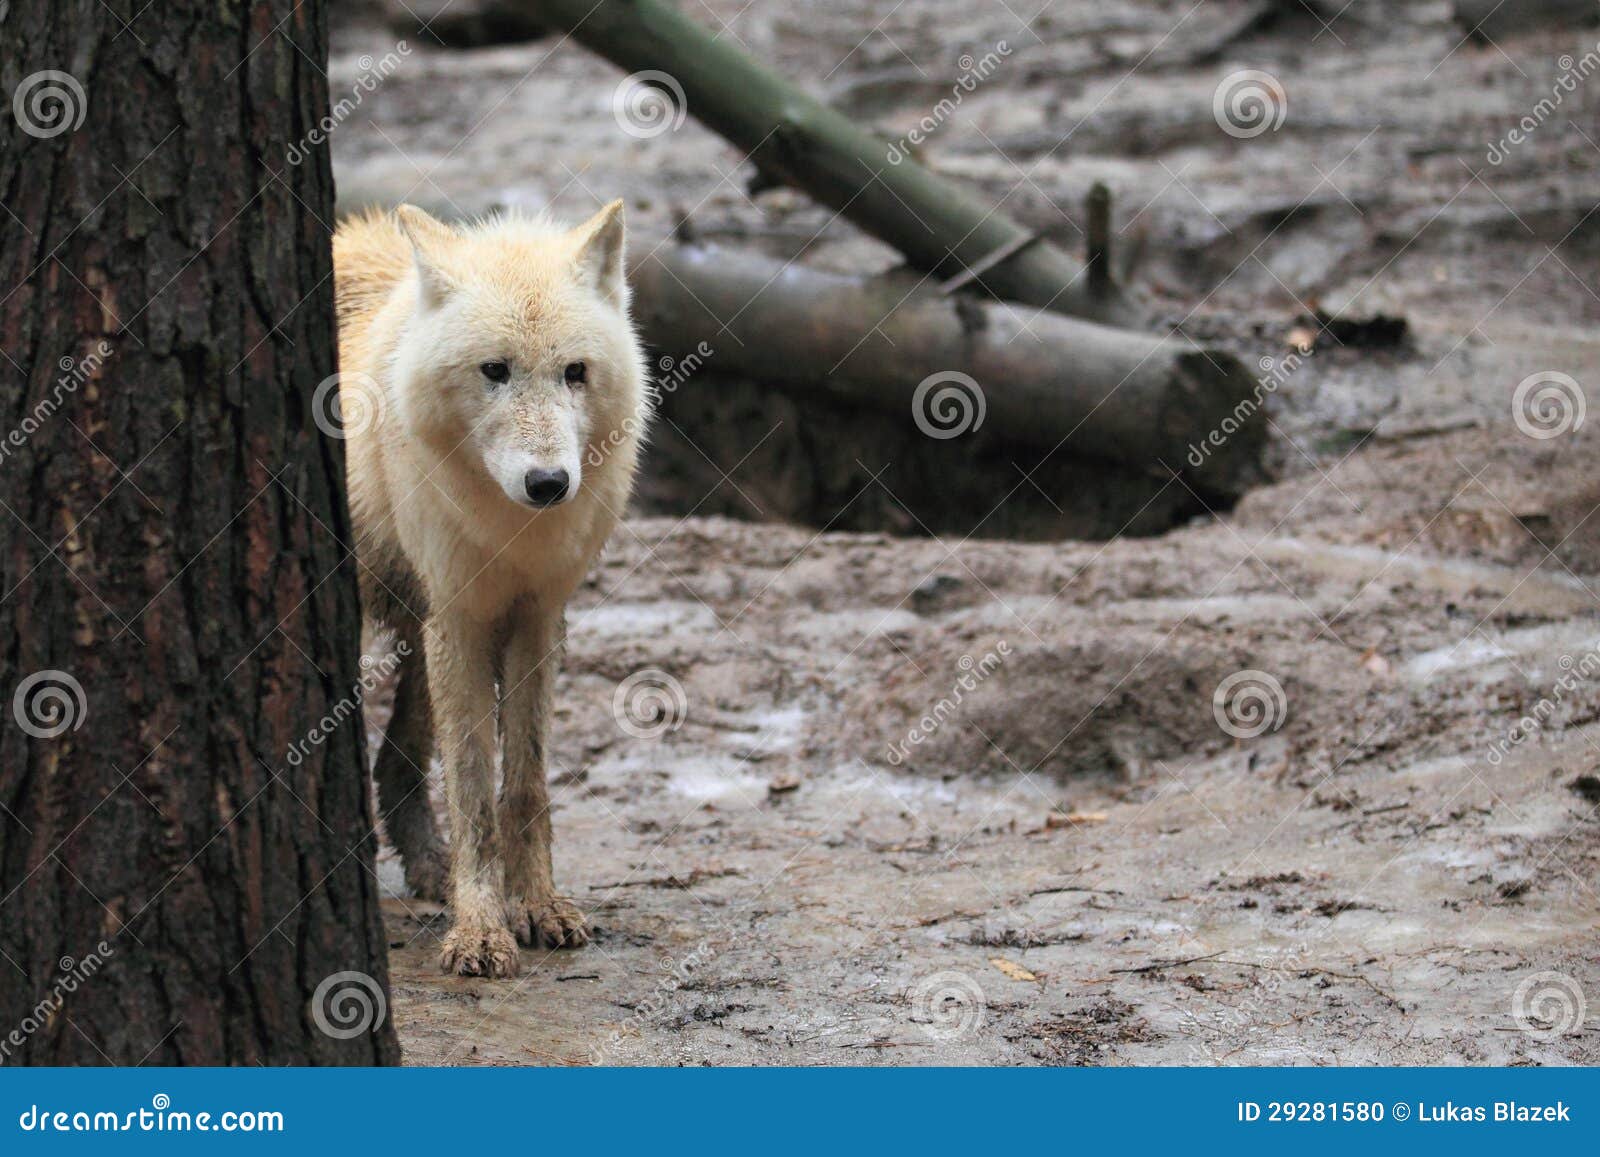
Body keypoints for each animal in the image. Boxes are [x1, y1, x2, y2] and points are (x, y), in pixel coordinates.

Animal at [333, 201, 649, 977]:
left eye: (575, 372)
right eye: (495, 371)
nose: (549, 483)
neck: (514, 529)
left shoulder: (535, 615)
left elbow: (525, 783)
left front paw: (536, 905)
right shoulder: (460, 618)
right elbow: (474, 787)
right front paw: (479, 930)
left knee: (398, 759)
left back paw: (428, 871)